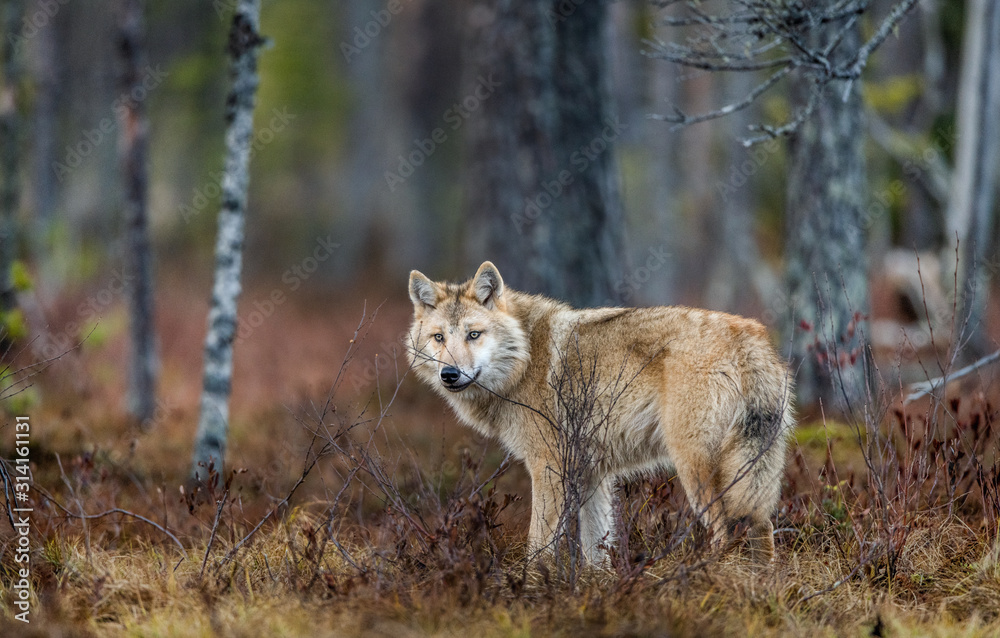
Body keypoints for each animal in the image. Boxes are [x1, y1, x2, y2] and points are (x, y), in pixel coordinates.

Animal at [407, 261, 794, 563]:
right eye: (439, 338)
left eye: (474, 335)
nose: (449, 374)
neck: (525, 359)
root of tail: (749, 337)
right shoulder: (592, 475)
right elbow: (597, 553)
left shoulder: (549, 469)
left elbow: (539, 548)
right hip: (749, 474)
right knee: (762, 527)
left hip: (695, 470)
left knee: (726, 534)